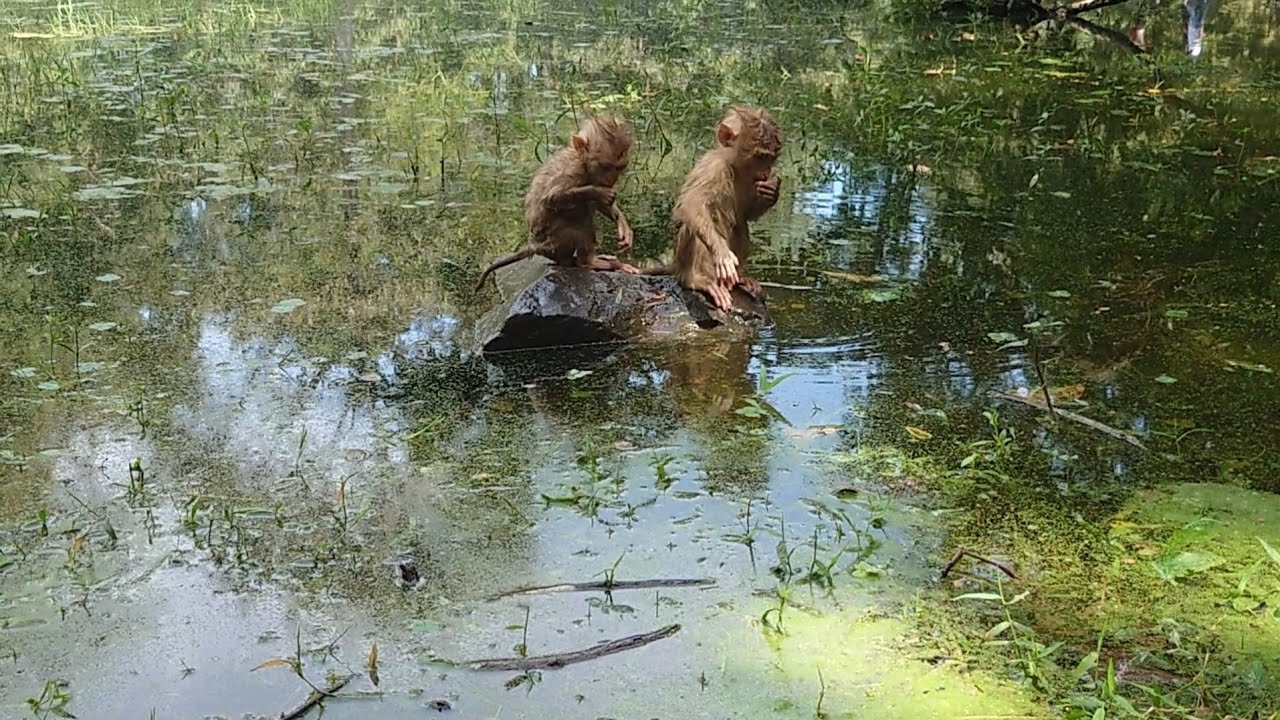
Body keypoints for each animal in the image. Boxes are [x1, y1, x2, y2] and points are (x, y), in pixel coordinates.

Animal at [475, 115, 638, 291]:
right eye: (605, 166)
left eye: (619, 168)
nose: (611, 180)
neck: (583, 162)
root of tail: (535, 245)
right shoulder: (573, 171)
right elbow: (551, 197)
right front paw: (598, 192)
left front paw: (622, 224)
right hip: (555, 242)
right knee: (581, 216)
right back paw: (589, 261)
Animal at [654, 106, 782, 311]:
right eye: (760, 157)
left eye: (771, 159)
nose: (765, 173)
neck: (734, 167)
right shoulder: (713, 168)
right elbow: (690, 204)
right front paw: (722, 253)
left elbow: (747, 214)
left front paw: (771, 192)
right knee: (694, 228)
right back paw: (695, 280)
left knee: (740, 226)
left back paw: (740, 280)